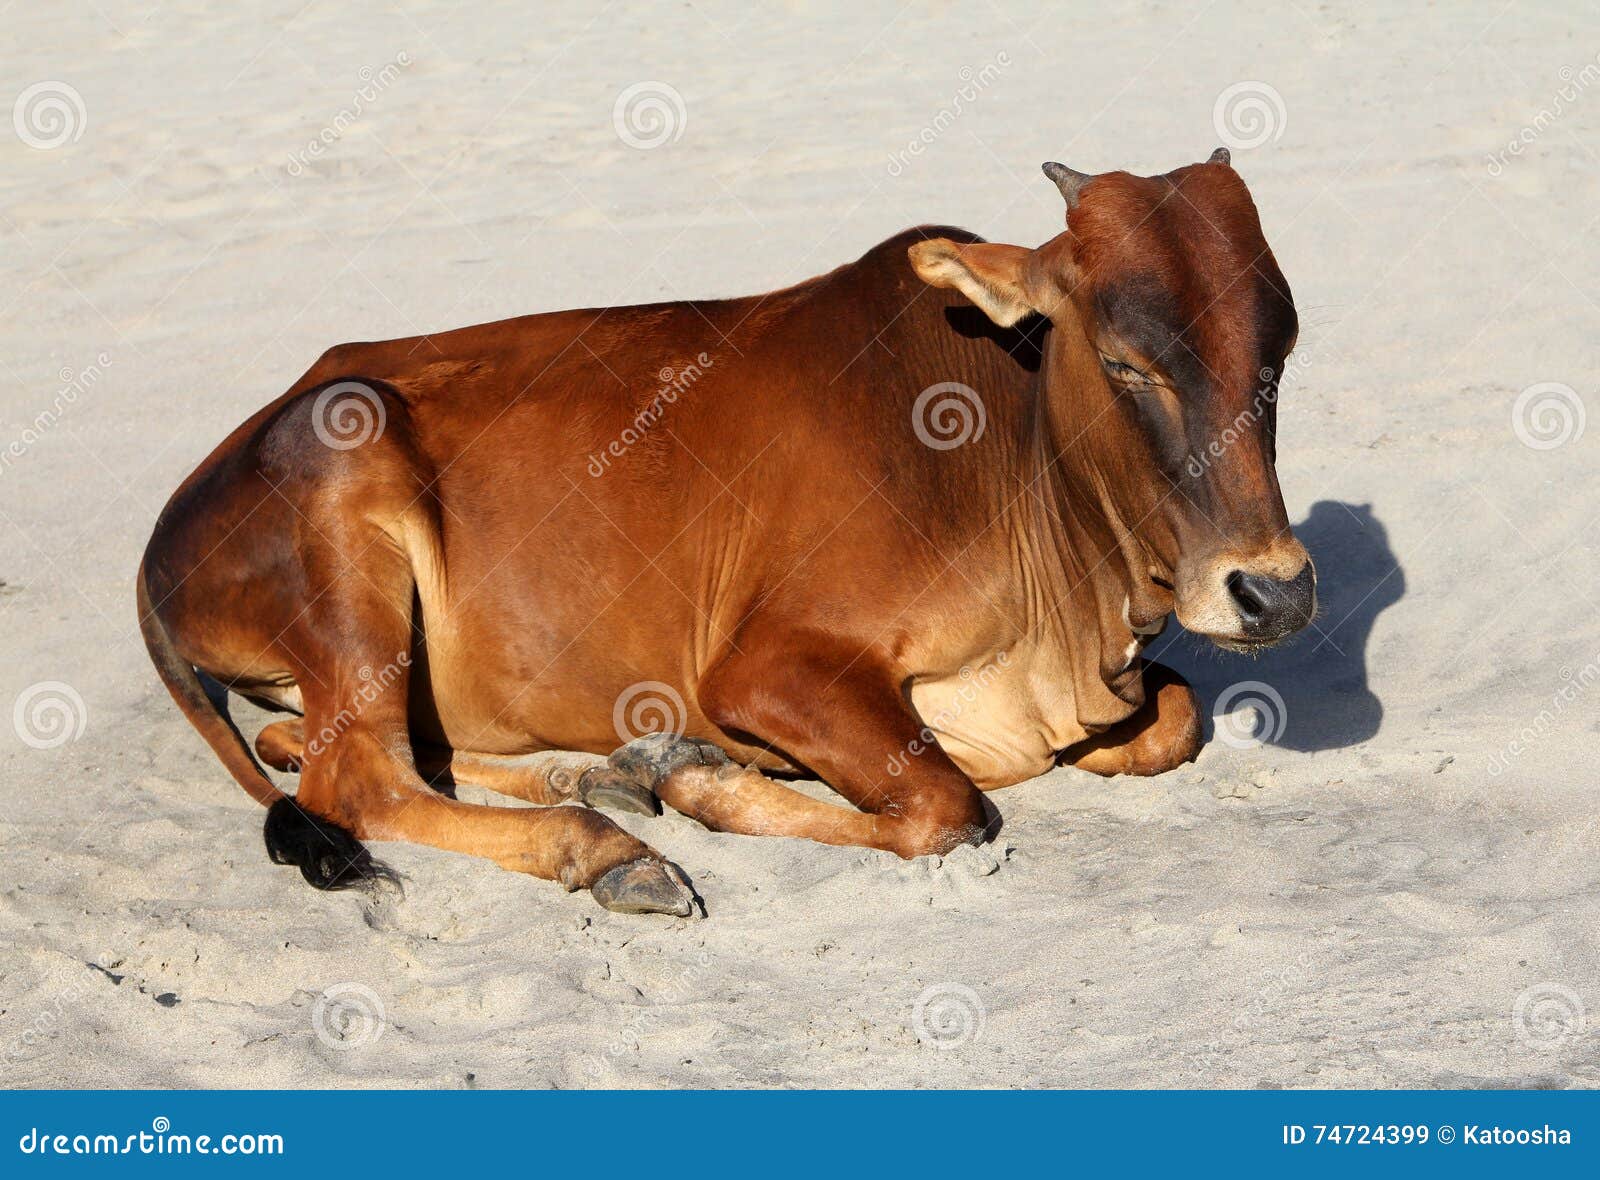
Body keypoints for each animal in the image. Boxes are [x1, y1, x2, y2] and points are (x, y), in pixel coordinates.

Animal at [138, 149, 1312, 917]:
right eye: (1123, 360)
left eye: (1281, 350)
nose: (1274, 590)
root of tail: (167, 529)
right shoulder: (764, 667)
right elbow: (949, 807)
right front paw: (699, 781)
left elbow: (1172, 721)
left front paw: (667, 764)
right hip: (347, 484)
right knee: (360, 783)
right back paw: (608, 844)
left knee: (333, 751)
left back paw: (600, 774)